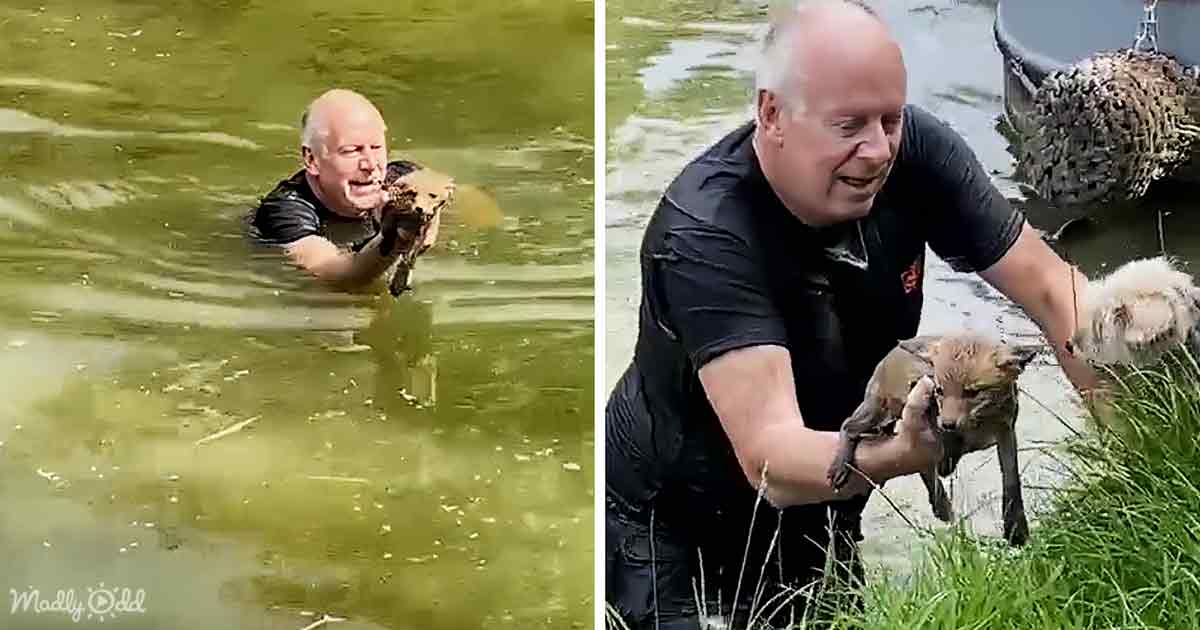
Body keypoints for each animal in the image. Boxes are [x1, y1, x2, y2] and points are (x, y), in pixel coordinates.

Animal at [827, 334, 1037, 546]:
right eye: (940, 390)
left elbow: (1011, 480)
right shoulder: (927, 438)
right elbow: (930, 474)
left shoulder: (1006, 432)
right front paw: (942, 505)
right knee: (848, 425)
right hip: (878, 411)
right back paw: (841, 464)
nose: (948, 424)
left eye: (973, 392)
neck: (977, 426)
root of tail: (890, 354)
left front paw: (1016, 527)